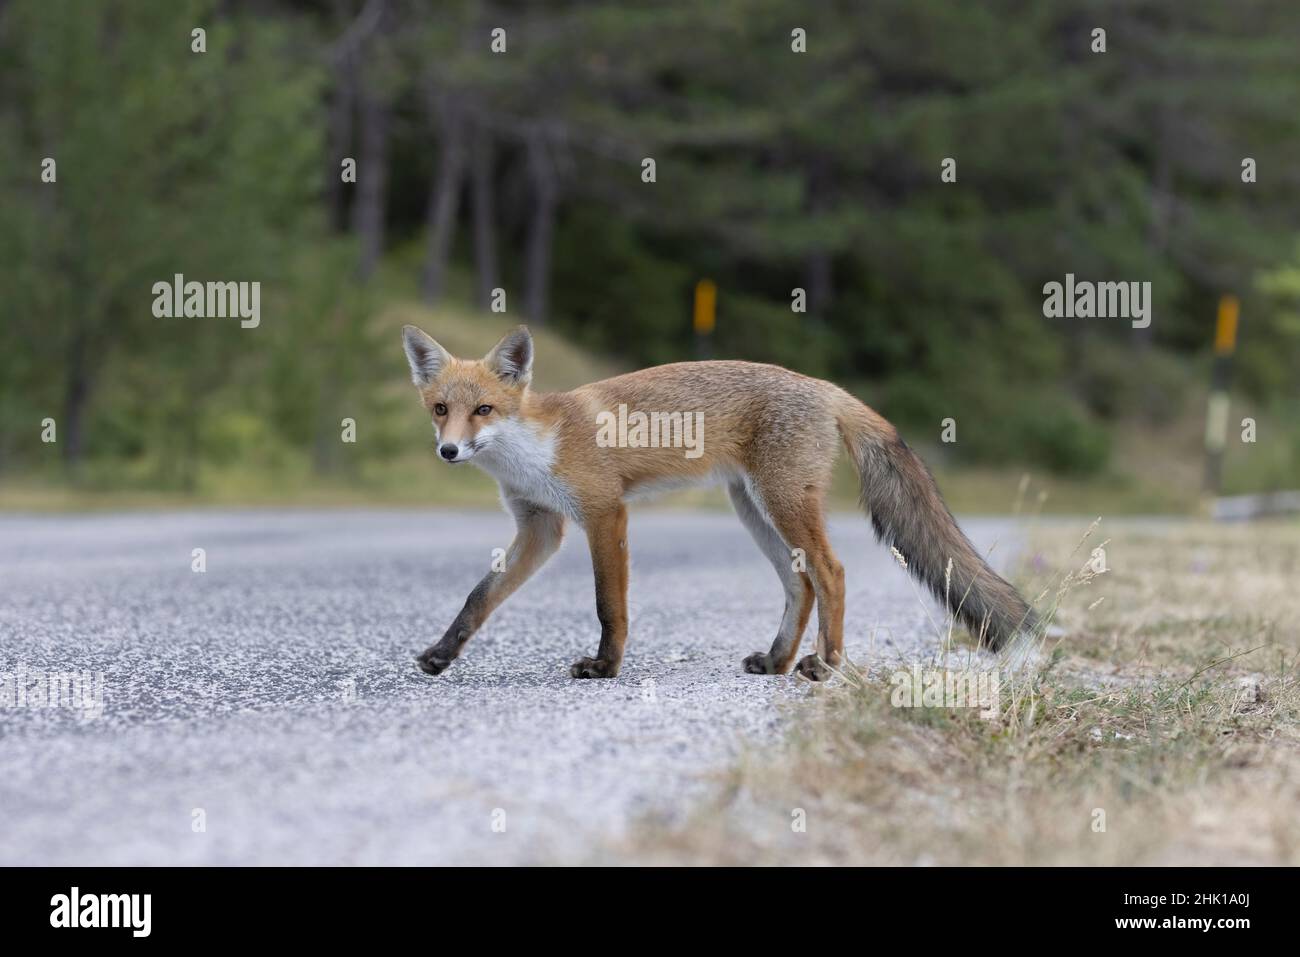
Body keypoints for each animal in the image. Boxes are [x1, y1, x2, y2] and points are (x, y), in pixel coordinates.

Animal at [402, 323, 1038, 681]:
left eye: (483, 409)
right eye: (441, 409)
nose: (449, 451)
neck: (534, 448)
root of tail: (824, 386)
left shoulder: (605, 512)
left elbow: (610, 605)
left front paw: (605, 667)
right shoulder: (541, 527)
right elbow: (479, 597)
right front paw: (441, 653)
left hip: (782, 503)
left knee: (830, 573)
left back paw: (824, 665)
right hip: (752, 508)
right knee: (800, 584)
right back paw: (777, 661)